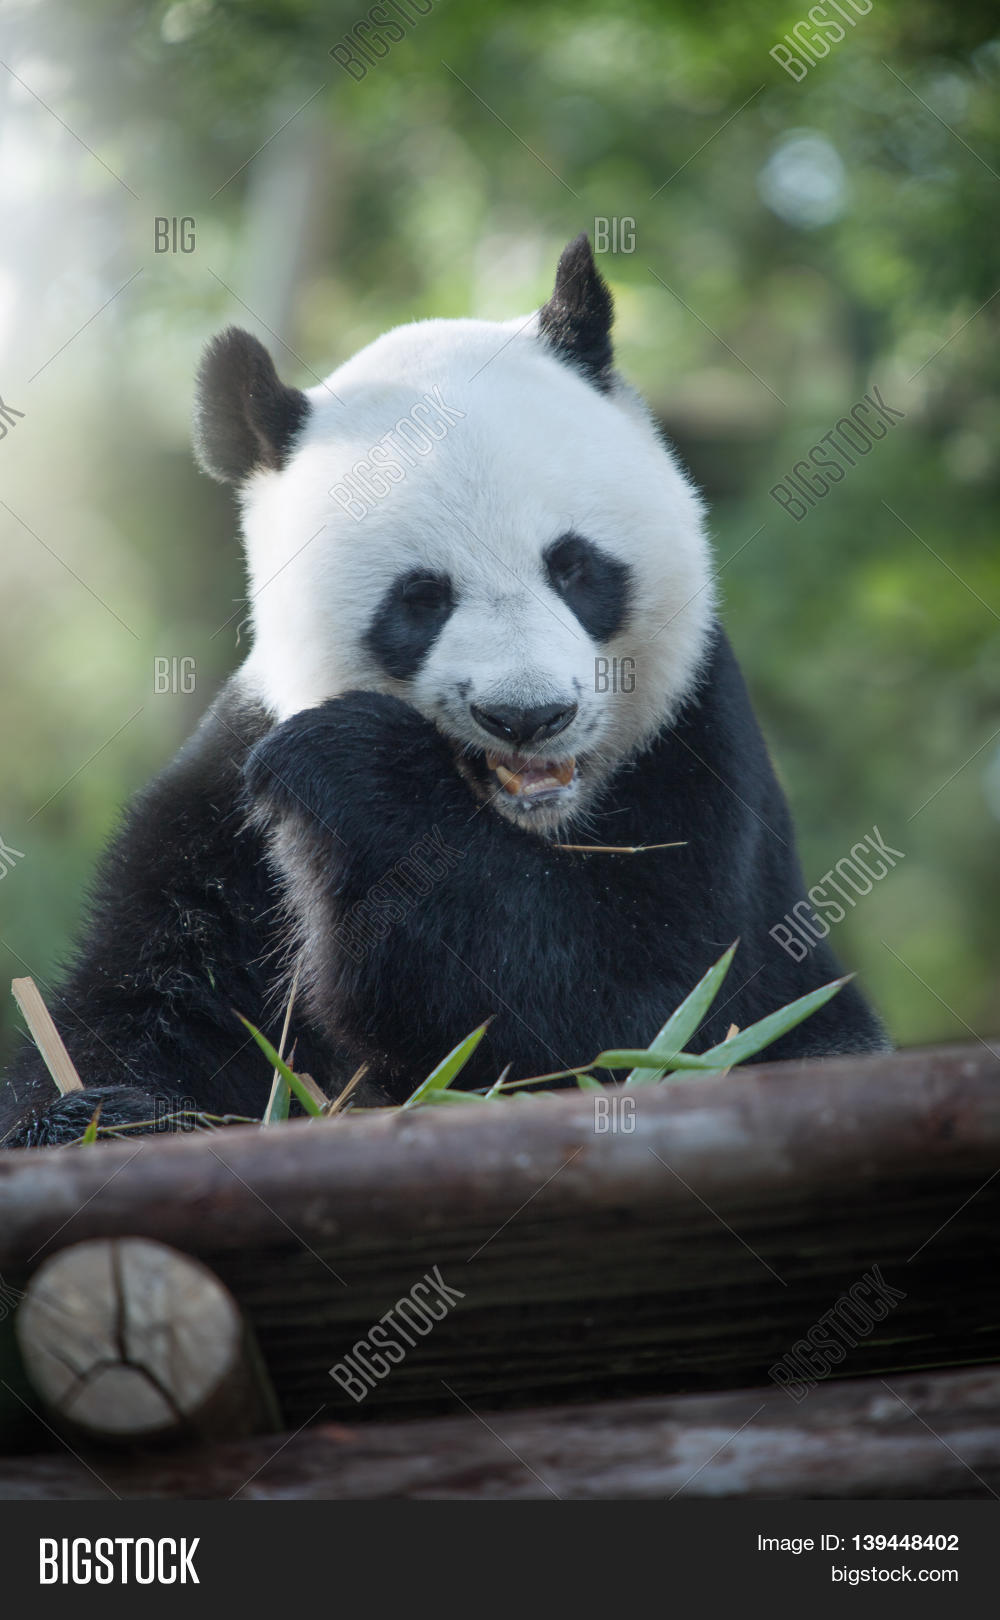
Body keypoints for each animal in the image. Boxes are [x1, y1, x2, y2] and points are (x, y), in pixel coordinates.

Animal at [1, 235, 888, 1148]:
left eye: (575, 567)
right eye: (420, 599)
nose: (528, 716)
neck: (524, 824)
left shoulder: (698, 762)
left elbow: (648, 1013)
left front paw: (356, 766)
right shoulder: (224, 810)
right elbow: (150, 1004)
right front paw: (93, 1115)